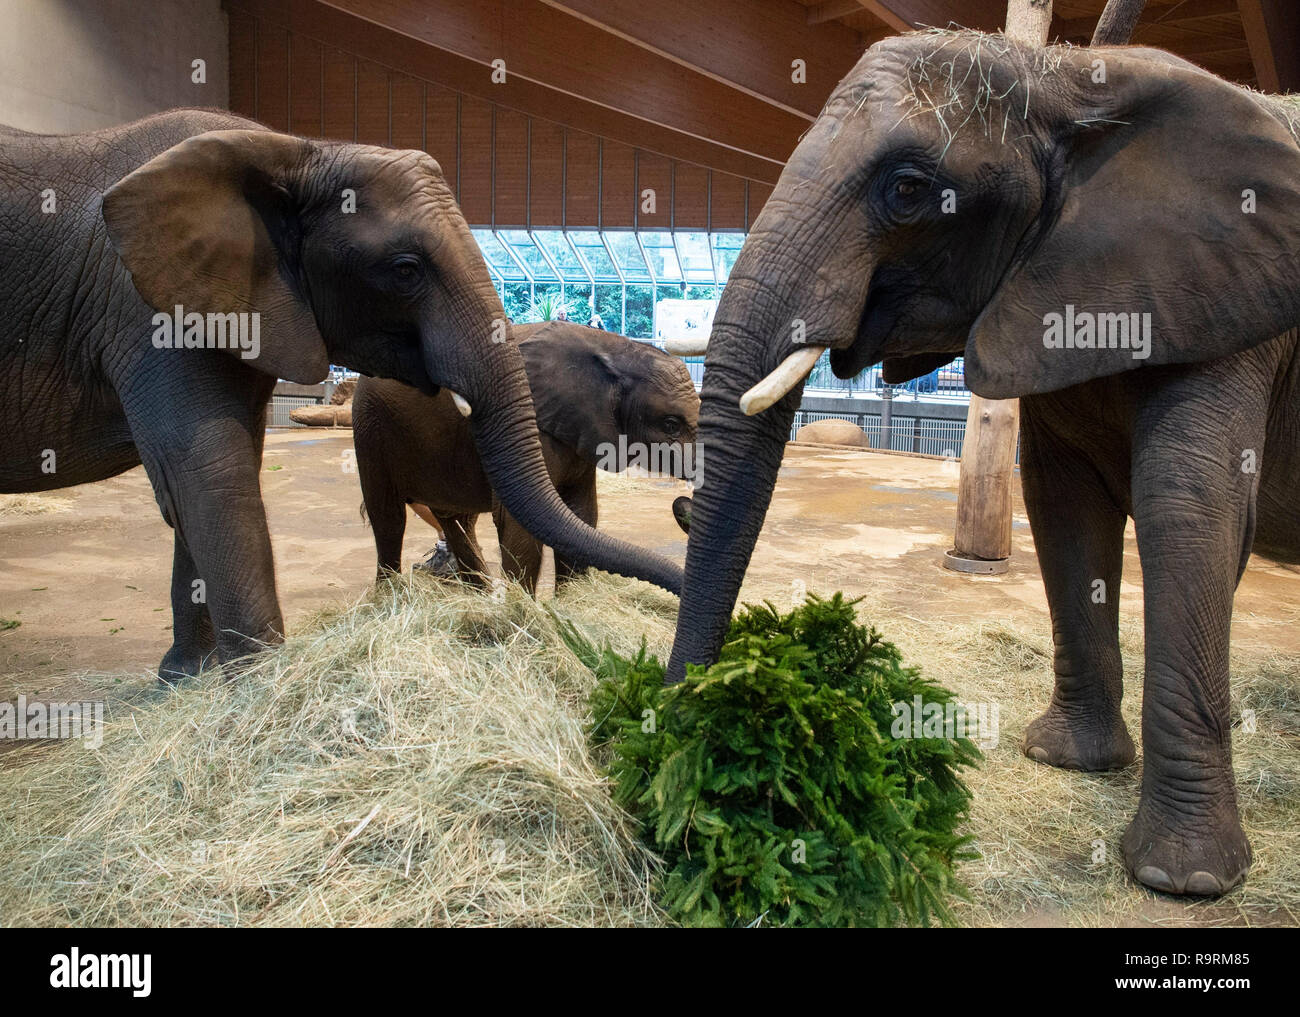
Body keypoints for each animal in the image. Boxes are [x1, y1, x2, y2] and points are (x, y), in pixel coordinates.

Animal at [353, 321, 699, 593]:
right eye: (671, 424)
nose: (682, 499)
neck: (616, 350)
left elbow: (582, 512)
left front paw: (569, 605)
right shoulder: (533, 423)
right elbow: (521, 522)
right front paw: (525, 617)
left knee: (456, 518)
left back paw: (480, 594)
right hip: (370, 425)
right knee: (388, 518)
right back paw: (388, 598)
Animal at [665, 30, 1300, 898]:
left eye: (907, 189)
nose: (666, 731)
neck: (1060, 78)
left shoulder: (1235, 297)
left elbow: (1188, 501)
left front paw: (1184, 879)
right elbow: (1064, 502)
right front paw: (1068, 761)